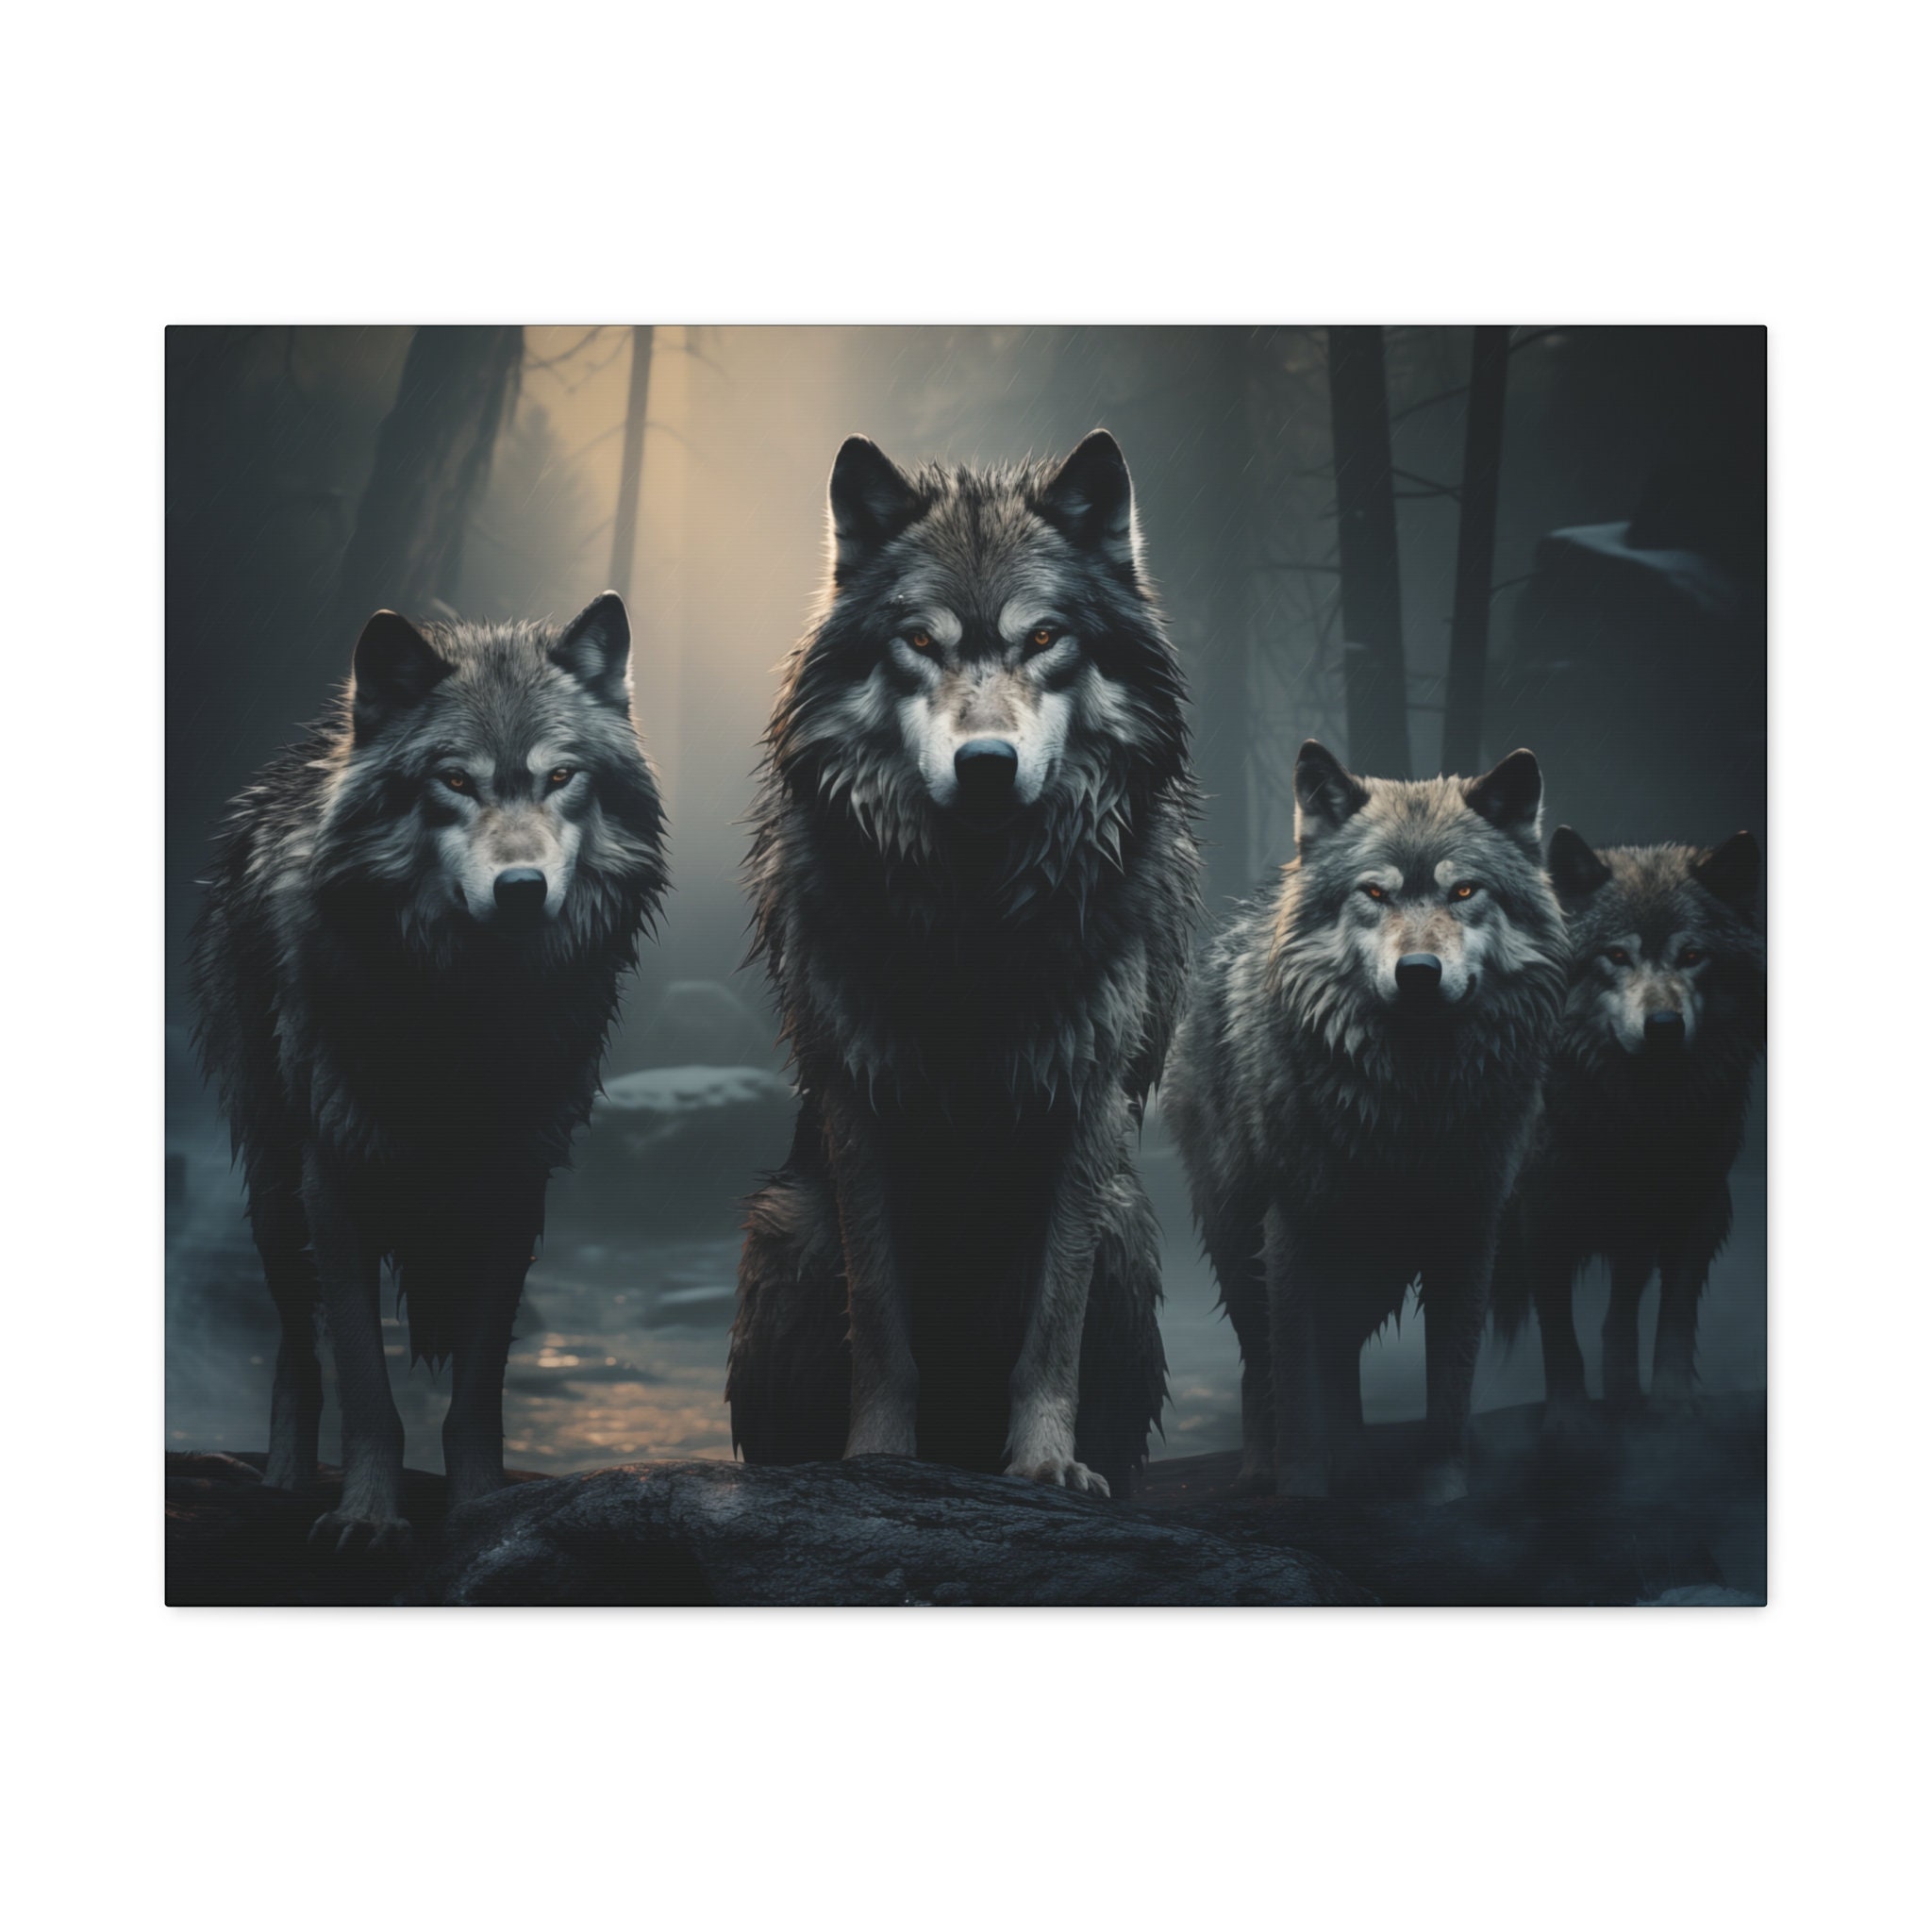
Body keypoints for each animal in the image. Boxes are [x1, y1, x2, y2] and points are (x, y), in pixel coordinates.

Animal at [189, 593, 667, 1553]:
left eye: (561, 778)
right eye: (454, 781)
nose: (521, 888)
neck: (464, 1017)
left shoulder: (517, 1185)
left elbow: (477, 1392)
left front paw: (481, 1507)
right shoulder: (332, 1182)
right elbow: (367, 1386)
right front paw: (366, 1514)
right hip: (272, 1187)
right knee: (294, 1350)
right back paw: (283, 1482)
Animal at [726, 431, 1199, 1497]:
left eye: (1043, 638)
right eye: (921, 642)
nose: (986, 763)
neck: (975, 929)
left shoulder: (1087, 1106)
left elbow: (1052, 1326)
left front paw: (1046, 1463)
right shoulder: (856, 1101)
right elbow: (881, 1324)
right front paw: (876, 1456)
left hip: (1129, 1226)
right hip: (785, 1226)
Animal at [1164, 739, 1567, 1501]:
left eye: (1463, 892)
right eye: (1374, 893)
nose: (1419, 971)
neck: (1411, 1104)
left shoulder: (1470, 1224)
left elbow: (1449, 1381)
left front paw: (1442, 1490)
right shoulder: (1290, 1222)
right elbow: (1293, 1372)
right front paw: (1301, 1487)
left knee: (1342, 1355)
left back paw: (1354, 1459)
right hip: (1239, 1239)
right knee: (1260, 1360)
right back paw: (1262, 1468)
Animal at [1491, 830, 1765, 1416]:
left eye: (1692, 956)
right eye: (1616, 956)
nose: (1662, 1025)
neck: (1640, 1118)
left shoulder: (1695, 1210)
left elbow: (1667, 1317)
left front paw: (1666, 1401)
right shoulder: (1543, 1217)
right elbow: (1560, 1336)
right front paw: (1569, 1418)